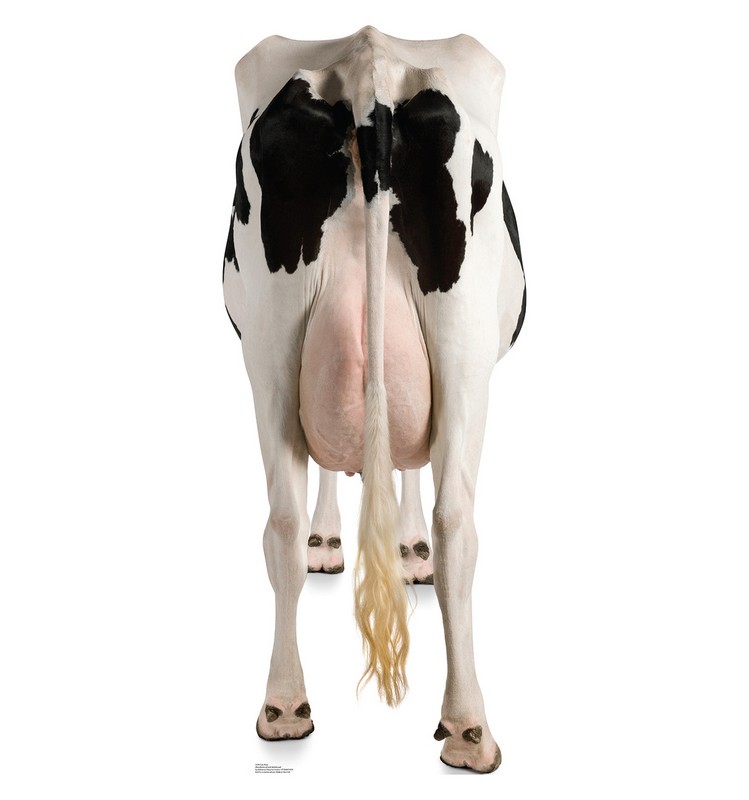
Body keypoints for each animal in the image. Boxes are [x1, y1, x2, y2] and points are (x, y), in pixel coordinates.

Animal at [222, 26, 525, 774]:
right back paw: (469, 728)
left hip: (270, 343)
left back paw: (284, 706)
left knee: (280, 519)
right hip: (464, 345)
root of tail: (370, 62)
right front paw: (380, 546)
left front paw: (352, 543)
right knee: (457, 522)